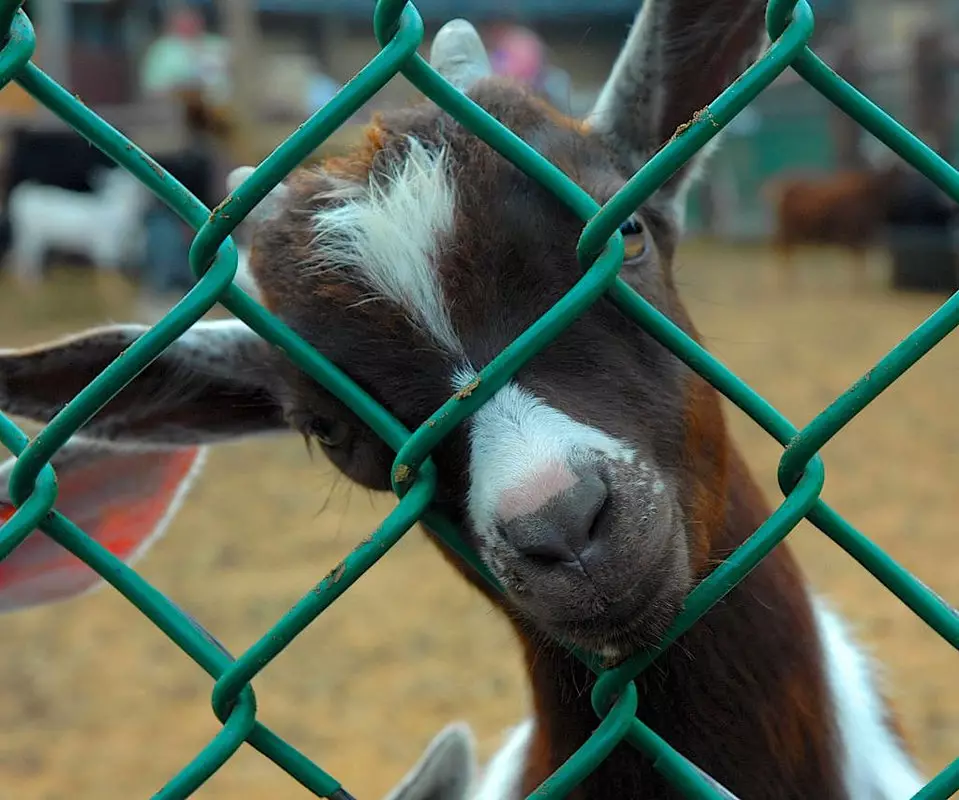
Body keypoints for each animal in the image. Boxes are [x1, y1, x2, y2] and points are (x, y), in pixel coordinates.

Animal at [4, 166, 152, 284]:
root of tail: (25, 191)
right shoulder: (106, 250)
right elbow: (110, 276)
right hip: (33, 237)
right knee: (28, 258)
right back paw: (32, 282)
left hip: (24, 235)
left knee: (18, 255)